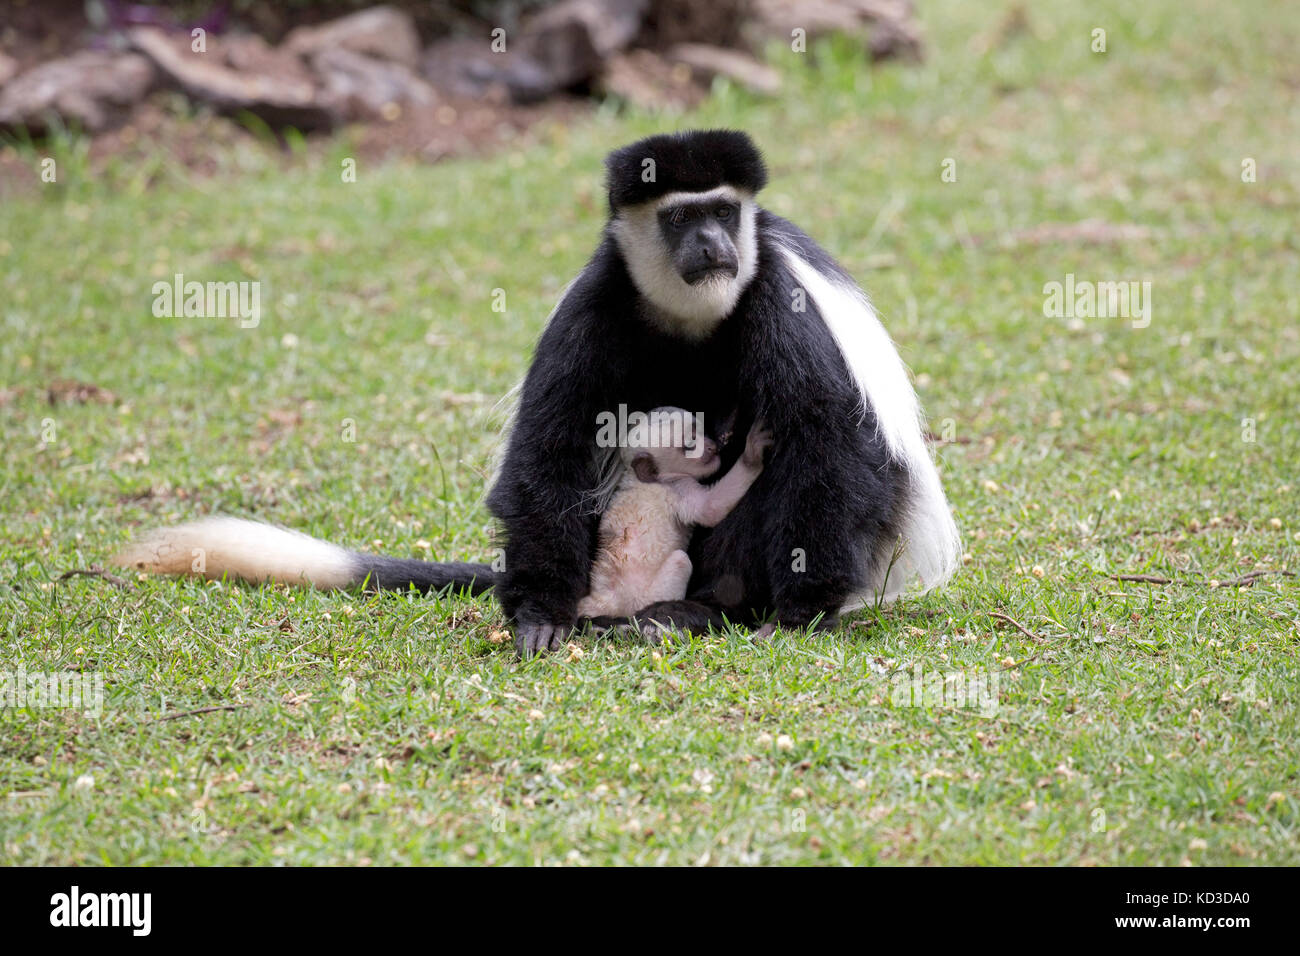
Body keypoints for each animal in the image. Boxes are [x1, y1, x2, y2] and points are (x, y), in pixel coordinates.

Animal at [576, 407, 772, 622]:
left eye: (700, 432)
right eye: (690, 444)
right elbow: (710, 508)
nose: (711, 447)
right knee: (680, 560)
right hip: (645, 596)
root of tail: (606, 601)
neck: (643, 479)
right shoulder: (679, 488)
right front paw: (751, 456)